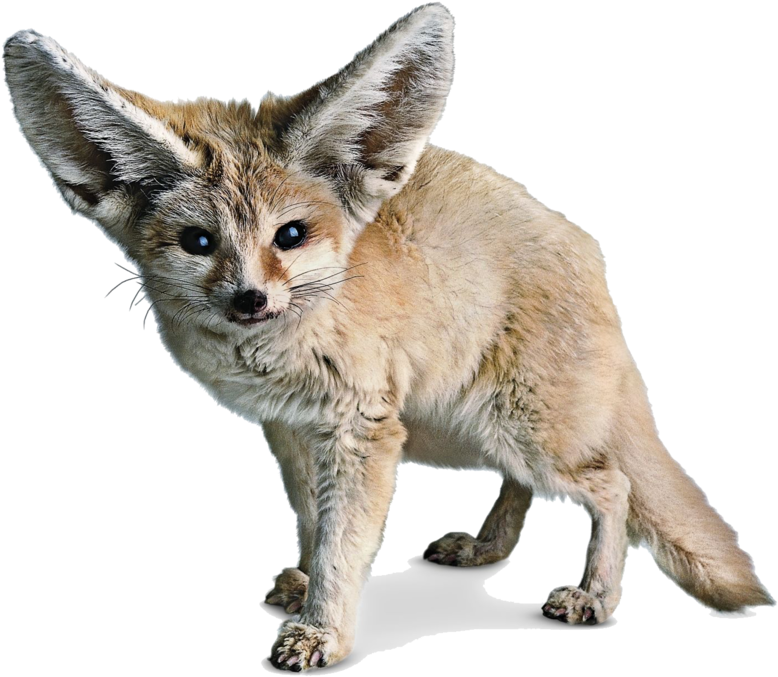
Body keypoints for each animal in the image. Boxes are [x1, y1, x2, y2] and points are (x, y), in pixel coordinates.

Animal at [3, 3, 774, 670]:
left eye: (290, 235)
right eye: (198, 242)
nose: (251, 298)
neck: (280, 352)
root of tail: (589, 256)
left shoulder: (360, 429)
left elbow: (344, 542)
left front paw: (322, 631)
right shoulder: (289, 429)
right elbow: (313, 522)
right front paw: (305, 589)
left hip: (511, 429)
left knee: (612, 484)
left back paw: (594, 594)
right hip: (464, 431)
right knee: (527, 483)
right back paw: (488, 547)